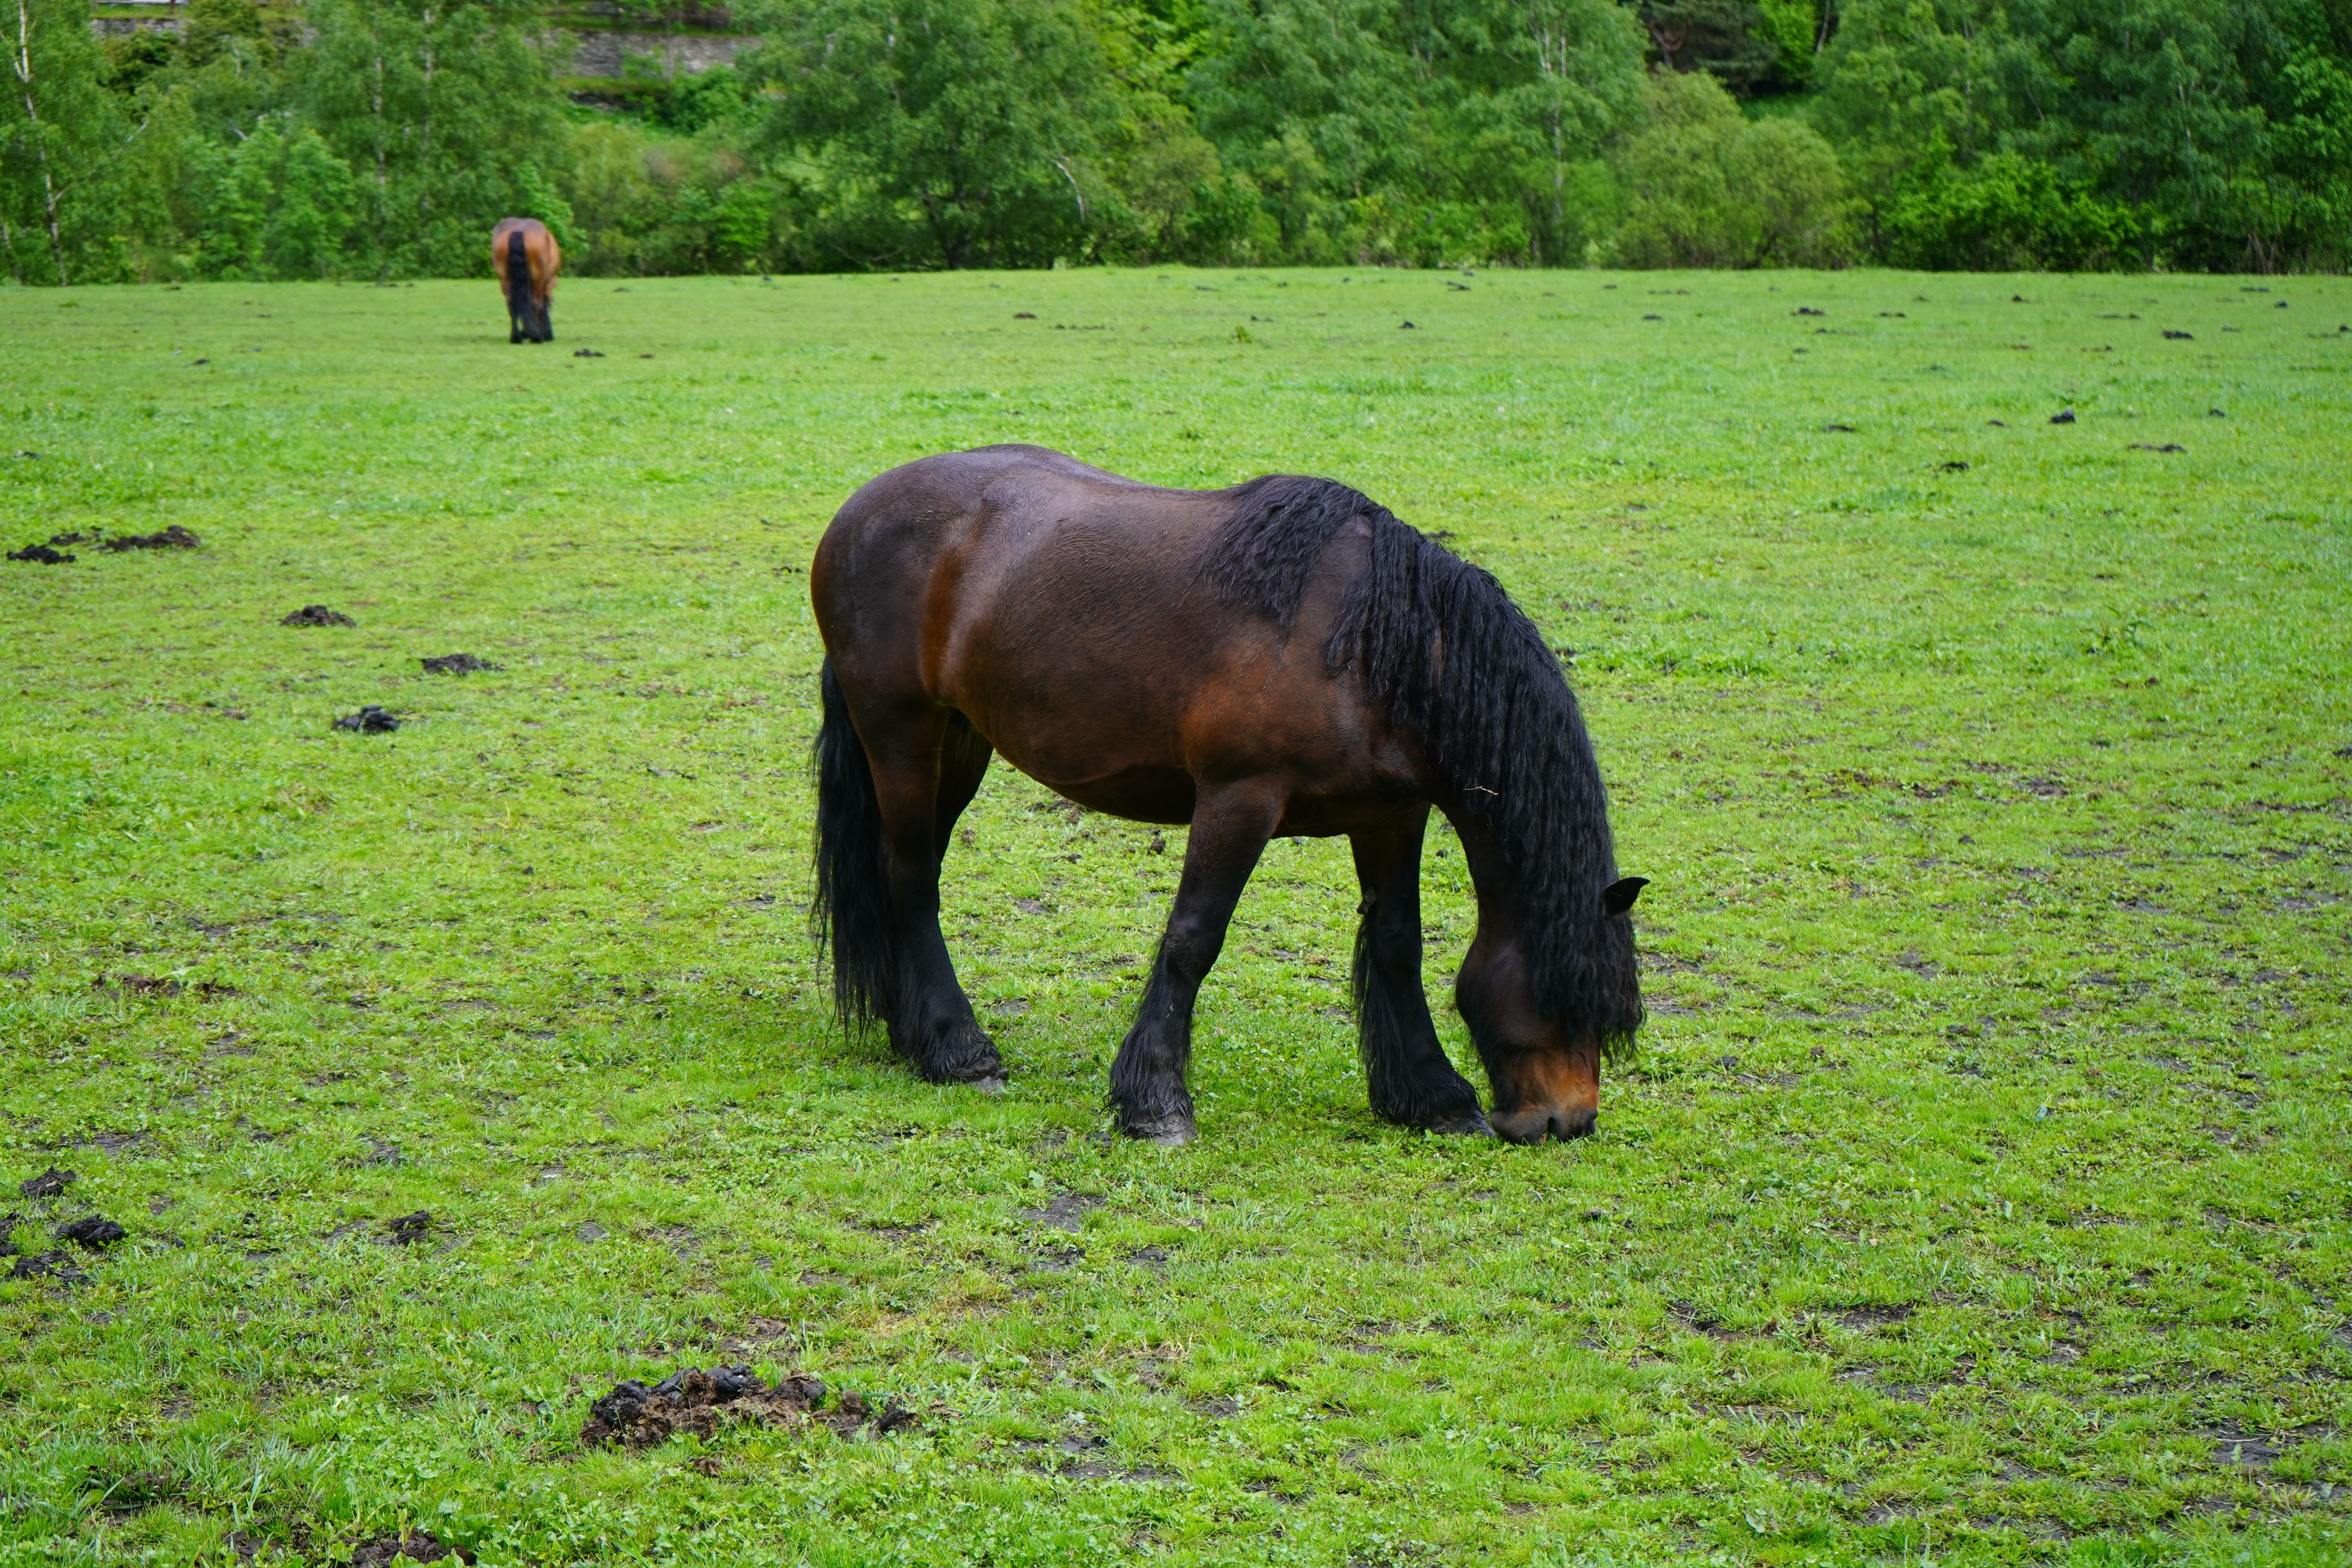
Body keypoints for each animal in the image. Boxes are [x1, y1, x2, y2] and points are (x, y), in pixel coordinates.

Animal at [491, 218, 560, 344]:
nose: (550, 335)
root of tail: (519, 230)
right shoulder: (548, 282)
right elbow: (543, 305)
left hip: (505, 279)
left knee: (512, 304)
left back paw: (516, 337)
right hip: (538, 280)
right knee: (536, 304)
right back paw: (537, 338)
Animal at [810, 446, 1645, 1146]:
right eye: (1573, 993)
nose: (1569, 1119)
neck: (1372, 645)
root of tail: (859, 510)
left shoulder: (1392, 815)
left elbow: (1397, 945)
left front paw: (1432, 1097)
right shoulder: (1239, 800)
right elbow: (1193, 939)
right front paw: (1154, 1103)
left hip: (960, 742)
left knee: (903, 874)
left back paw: (910, 1030)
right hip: (902, 734)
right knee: (911, 880)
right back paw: (956, 1048)